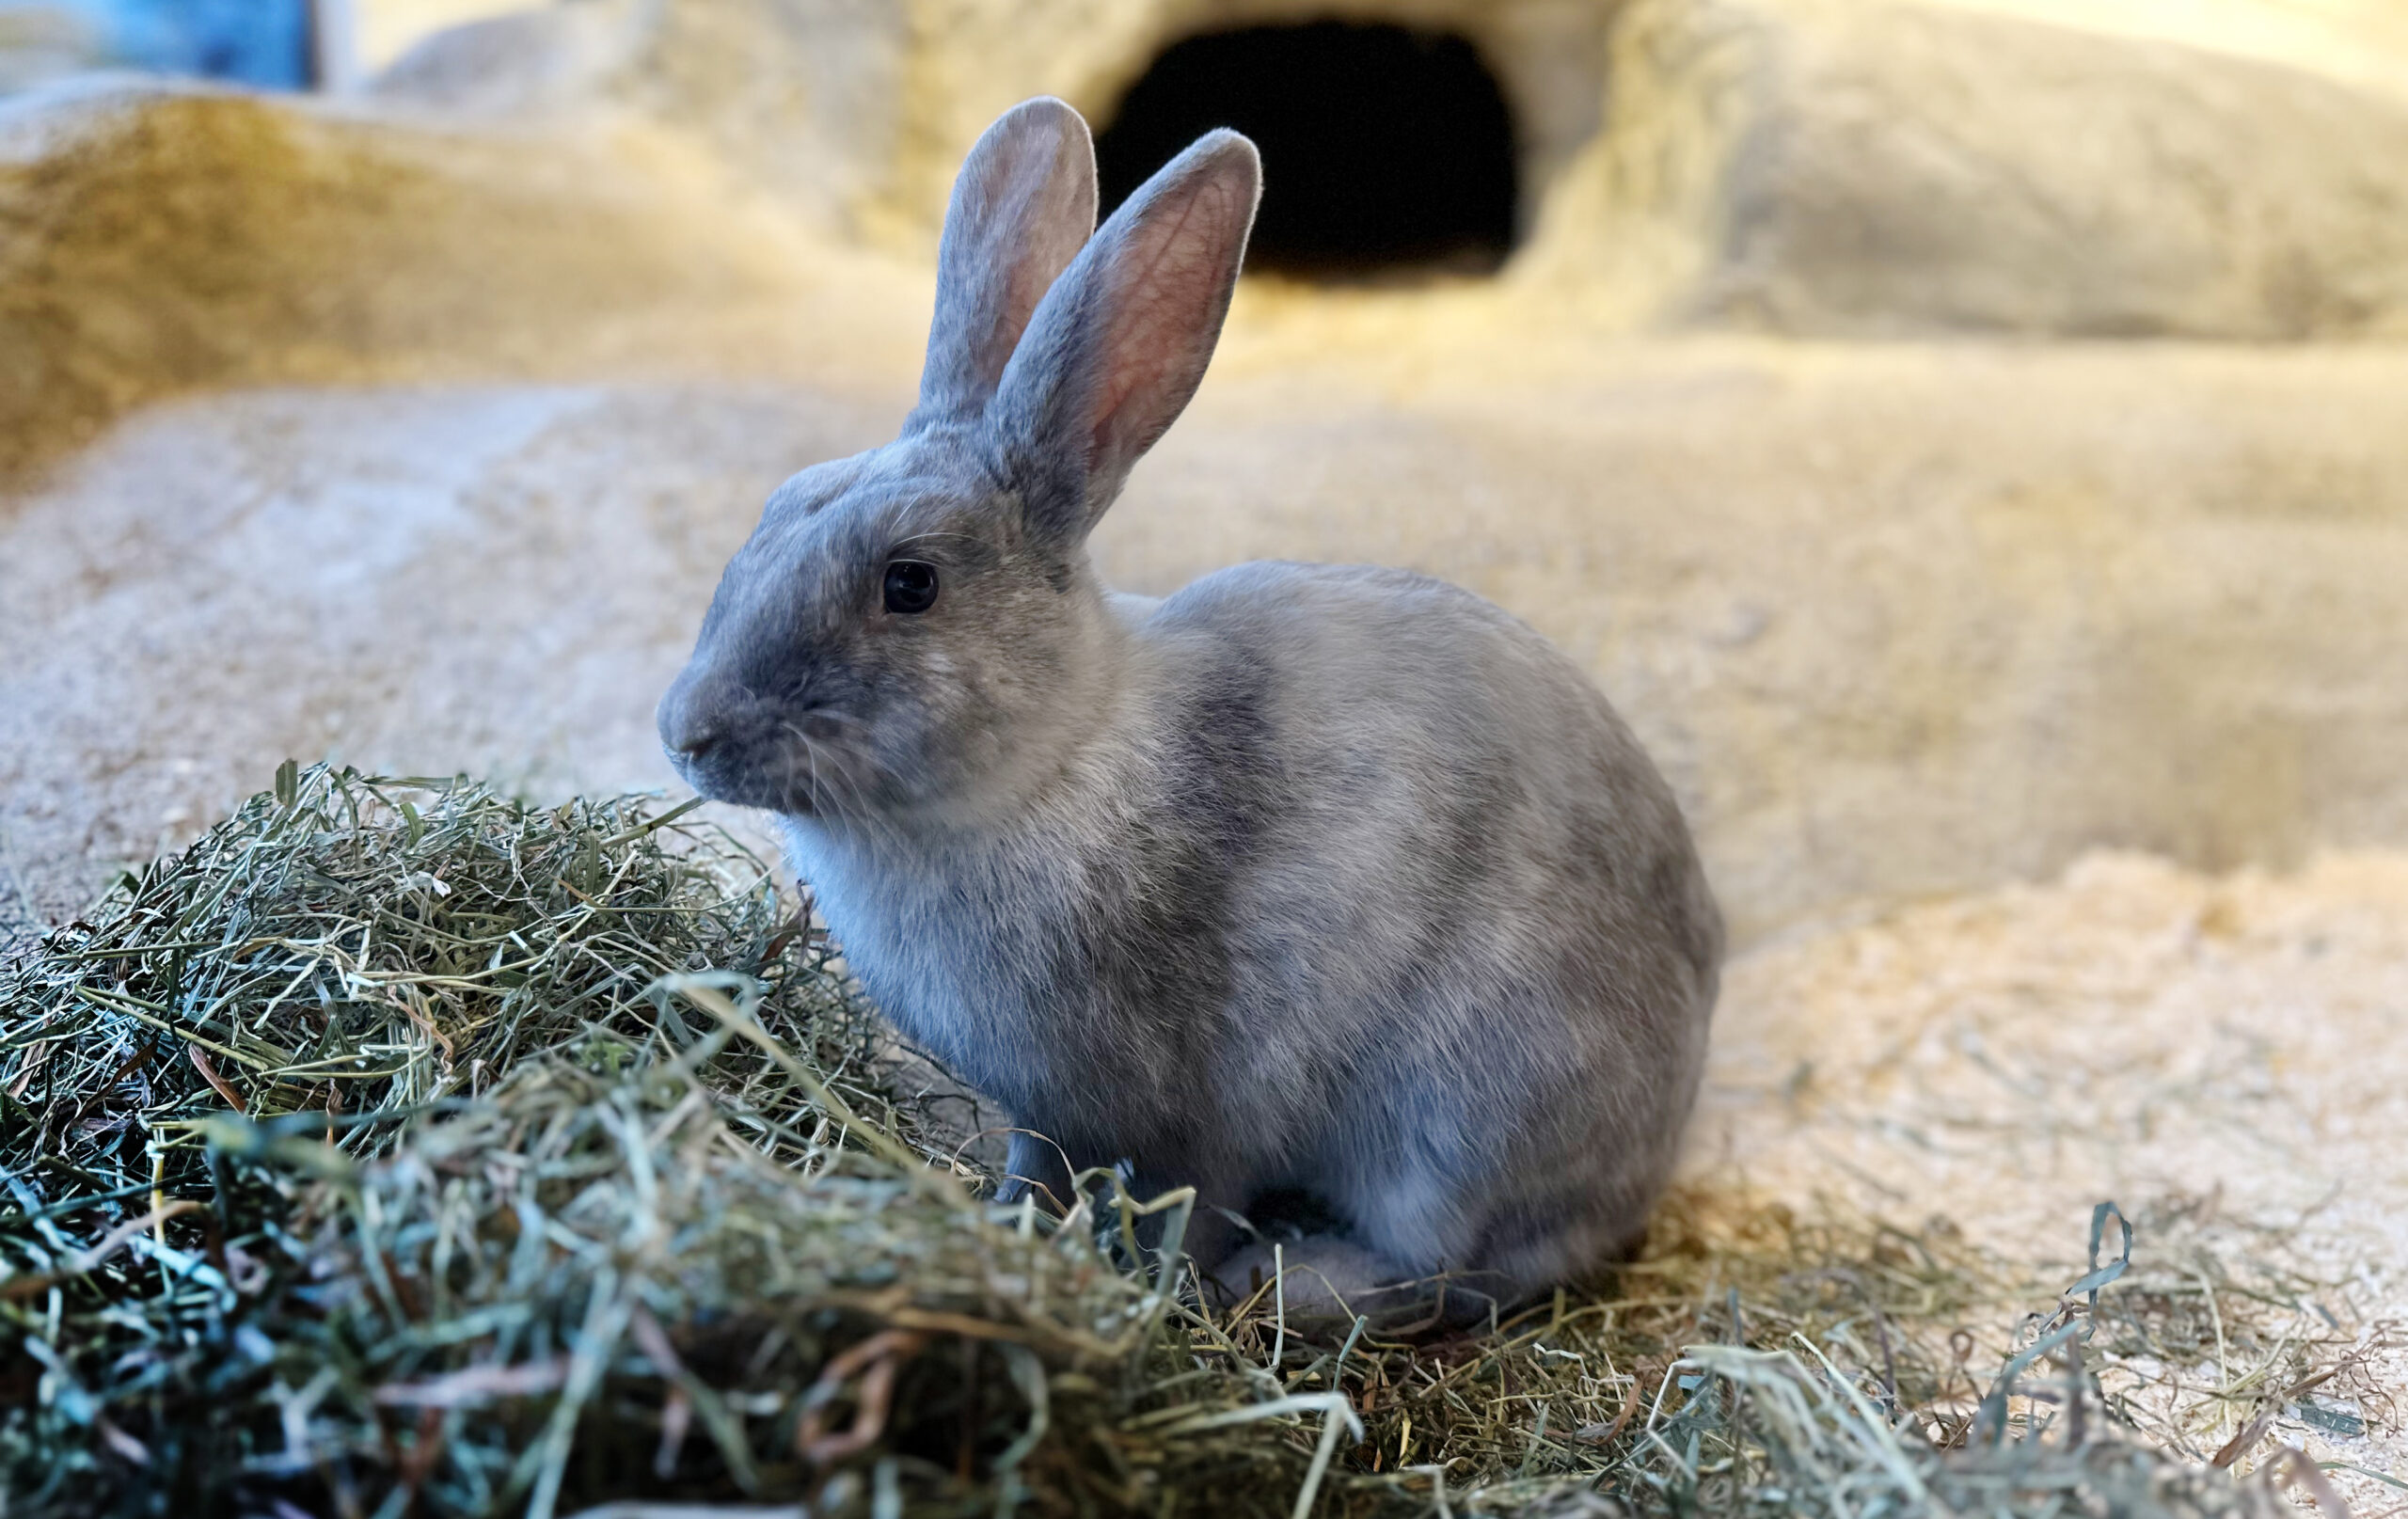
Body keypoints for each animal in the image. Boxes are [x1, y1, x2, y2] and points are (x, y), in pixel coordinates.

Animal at [656, 97, 1723, 1329]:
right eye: (778, 506)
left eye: (909, 584)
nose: (686, 734)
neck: (1051, 760)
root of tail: (1659, 1136)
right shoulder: (1048, 1111)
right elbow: (1036, 1168)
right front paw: (1004, 1221)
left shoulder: (1186, 1105)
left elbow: (1188, 1196)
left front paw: (1150, 1279)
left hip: (1461, 1117)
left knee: (1457, 1266)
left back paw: (1298, 1282)